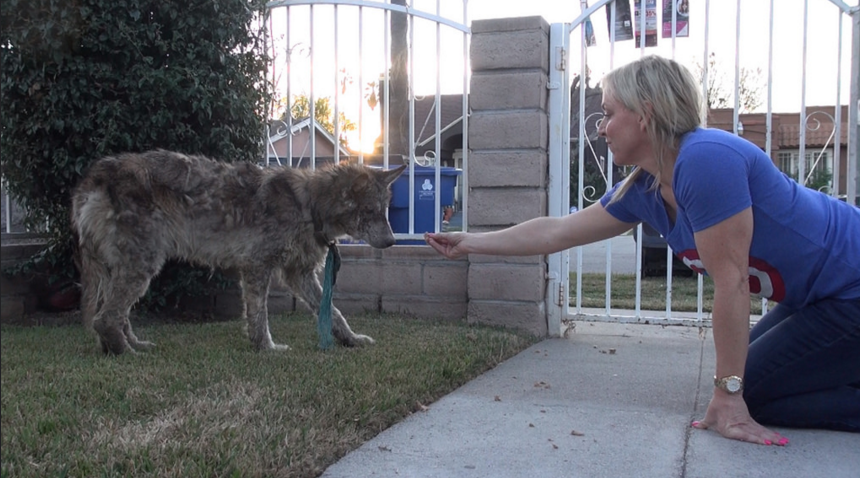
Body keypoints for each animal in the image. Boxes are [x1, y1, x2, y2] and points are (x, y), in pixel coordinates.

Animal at [70, 149, 406, 355]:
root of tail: (96, 175)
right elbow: (259, 315)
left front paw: (351, 340)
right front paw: (266, 348)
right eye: (370, 211)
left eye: (384, 211)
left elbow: (334, 312)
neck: (308, 205)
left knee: (117, 317)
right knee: (104, 319)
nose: (392, 242)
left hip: (126, 269)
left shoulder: (298, 275)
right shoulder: (257, 266)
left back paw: (132, 346)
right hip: (142, 266)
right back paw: (127, 353)